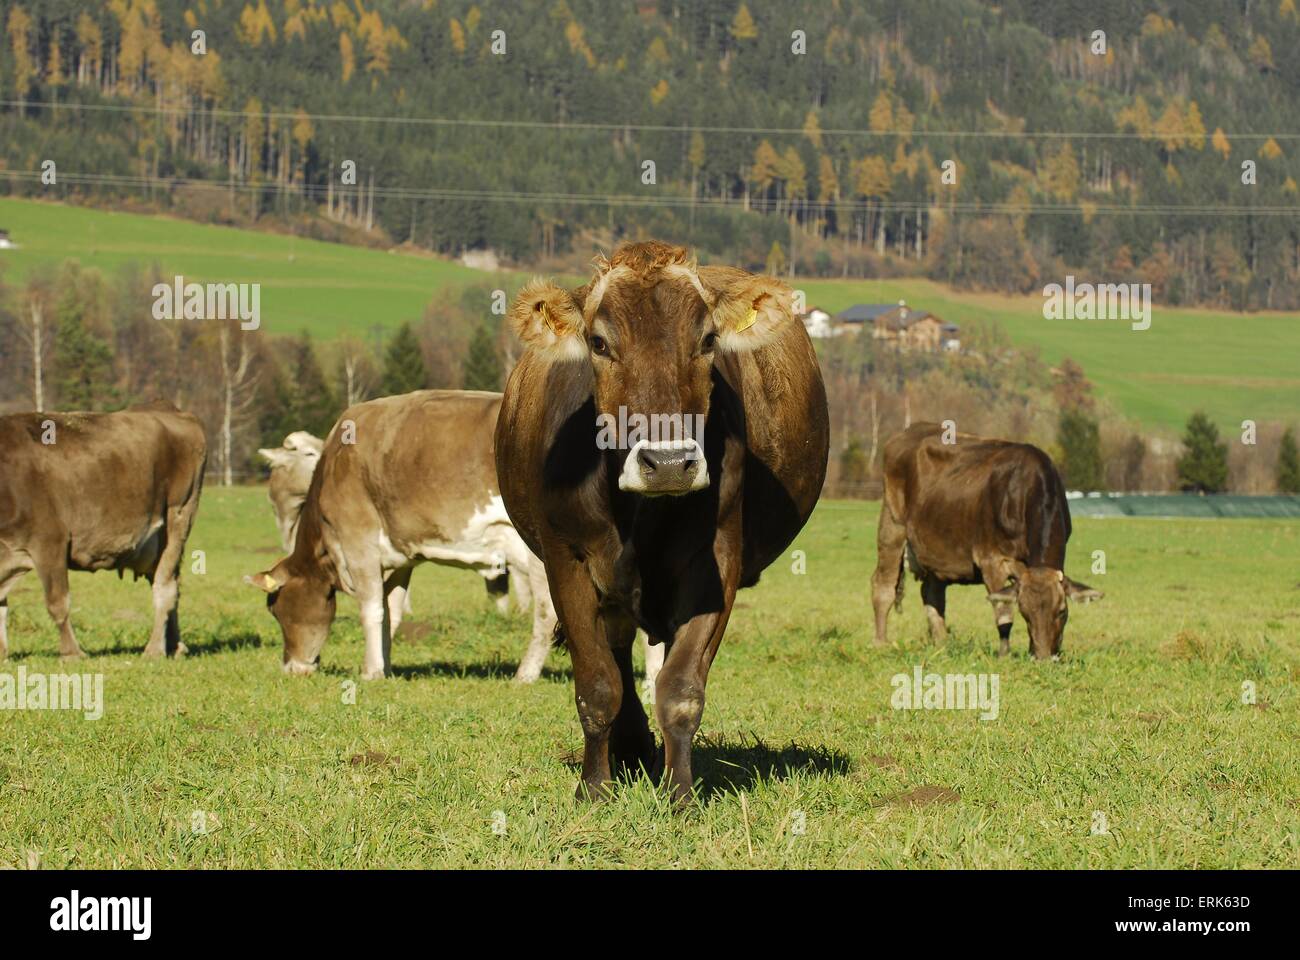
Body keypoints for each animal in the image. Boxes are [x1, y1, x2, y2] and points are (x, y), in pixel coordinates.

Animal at [0, 403, 206, 660]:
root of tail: (166, 407)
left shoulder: (49, 541)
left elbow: (57, 603)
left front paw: (72, 654)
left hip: (178, 517)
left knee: (165, 588)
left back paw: (154, 650)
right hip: (156, 542)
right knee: (173, 586)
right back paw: (176, 646)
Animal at [495, 240, 829, 804]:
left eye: (709, 339)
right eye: (599, 342)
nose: (669, 463)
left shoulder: (715, 564)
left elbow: (681, 688)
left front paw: (680, 793)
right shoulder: (567, 561)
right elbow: (598, 685)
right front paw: (594, 789)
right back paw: (629, 749)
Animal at [870, 422, 1103, 660]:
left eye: (1062, 611)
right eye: (1025, 612)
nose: (1043, 658)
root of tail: (911, 429)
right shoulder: (992, 560)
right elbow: (1004, 614)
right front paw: (1004, 656)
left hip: (936, 547)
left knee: (933, 594)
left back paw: (942, 645)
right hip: (892, 524)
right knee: (884, 585)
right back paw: (881, 642)